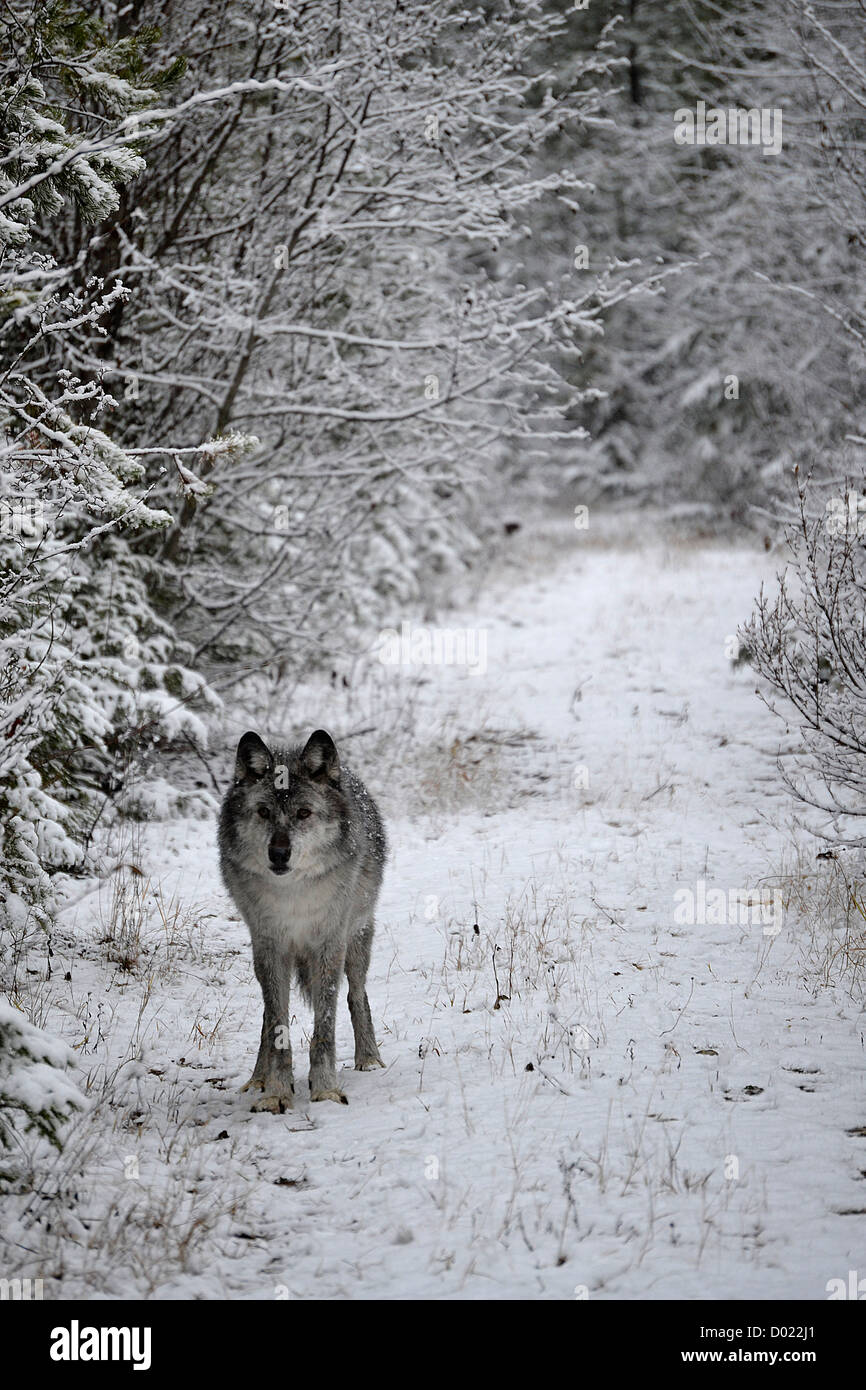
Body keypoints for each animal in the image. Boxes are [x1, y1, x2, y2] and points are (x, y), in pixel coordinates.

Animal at [218, 729, 386, 1112]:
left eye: (304, 813)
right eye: (264, 812)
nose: (279, 854)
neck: (292, 895)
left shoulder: (328, 944)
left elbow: (325, 1023)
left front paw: (325, 1090)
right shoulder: (270, 945)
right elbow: (277, 1023)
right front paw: (276, 1092)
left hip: (358, 939)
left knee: (357, 995)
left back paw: (369, 1059)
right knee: (267, 1017)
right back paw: (258, 1079)